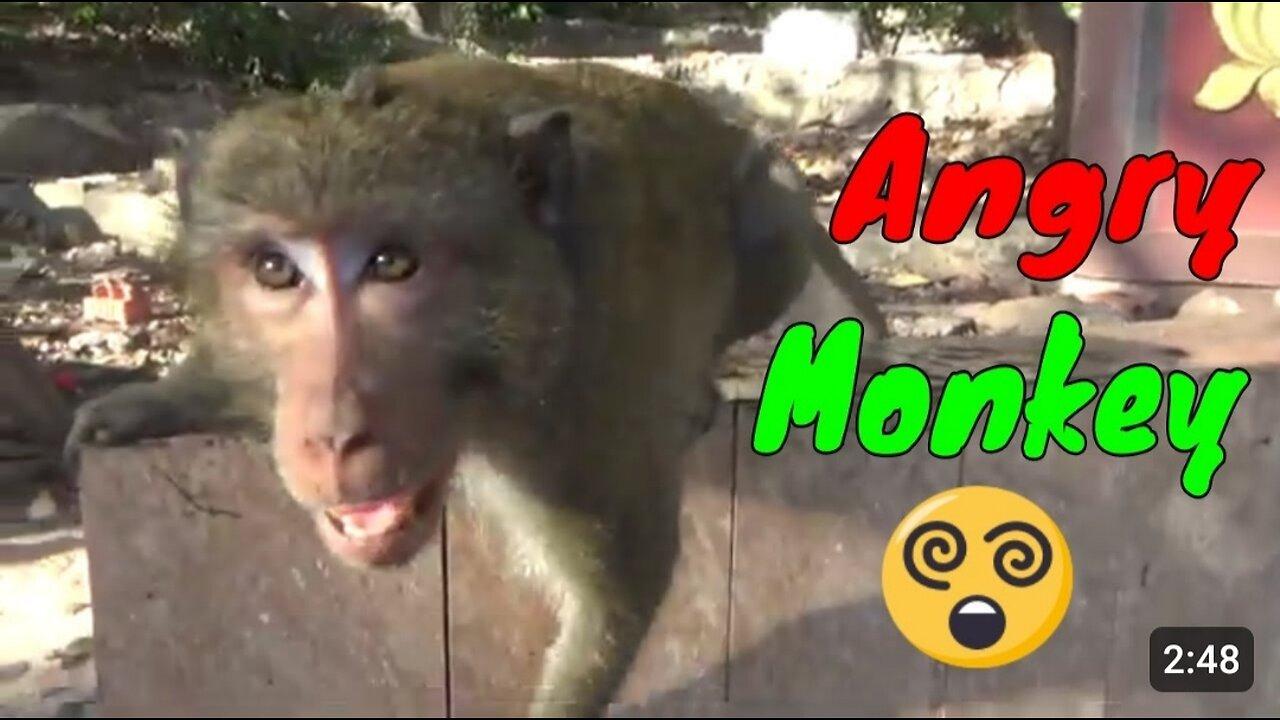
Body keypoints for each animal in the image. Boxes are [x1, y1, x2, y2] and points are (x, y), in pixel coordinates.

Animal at [65, 54, 886, 717]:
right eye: (274, 270)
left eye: (393, 264)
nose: (334, 433)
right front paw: (166, 396)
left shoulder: (583, 396)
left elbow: (623, 583)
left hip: (763, 221)